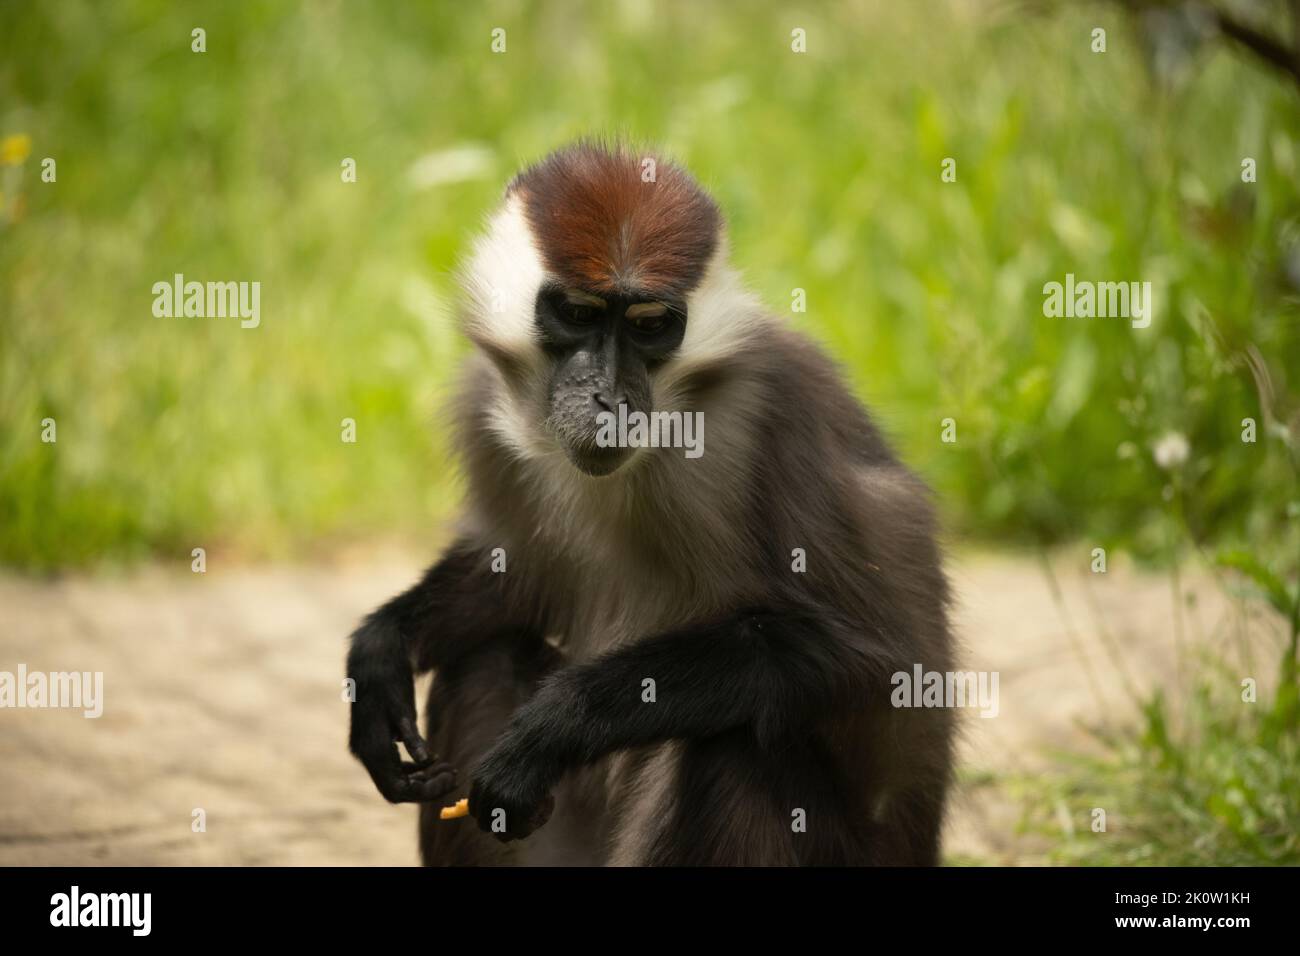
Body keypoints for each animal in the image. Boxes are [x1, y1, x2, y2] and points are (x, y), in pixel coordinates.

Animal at [346, 141, 954, 866]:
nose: (611, 400)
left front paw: (562, 719)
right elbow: (512, 579)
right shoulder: (484, 407)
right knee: (484, 657)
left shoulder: (772, 413)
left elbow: (873, 659)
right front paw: (380, 652)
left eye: (650, 326)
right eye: (579, 314)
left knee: (731, 743)